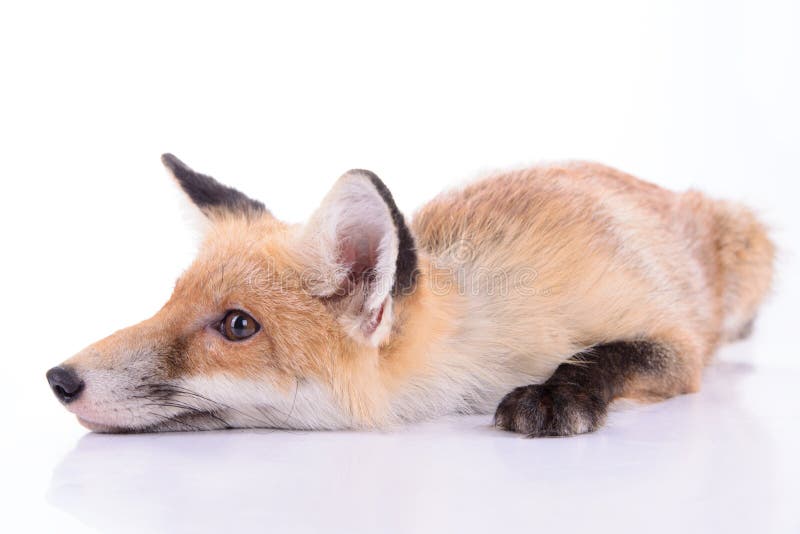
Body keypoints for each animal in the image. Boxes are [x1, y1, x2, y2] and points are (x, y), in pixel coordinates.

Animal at [46, 154, 775, 436]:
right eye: (167, 301)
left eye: (237, 326)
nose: (59, 379)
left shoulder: (670, 340)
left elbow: (608, 355)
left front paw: (558, 395)